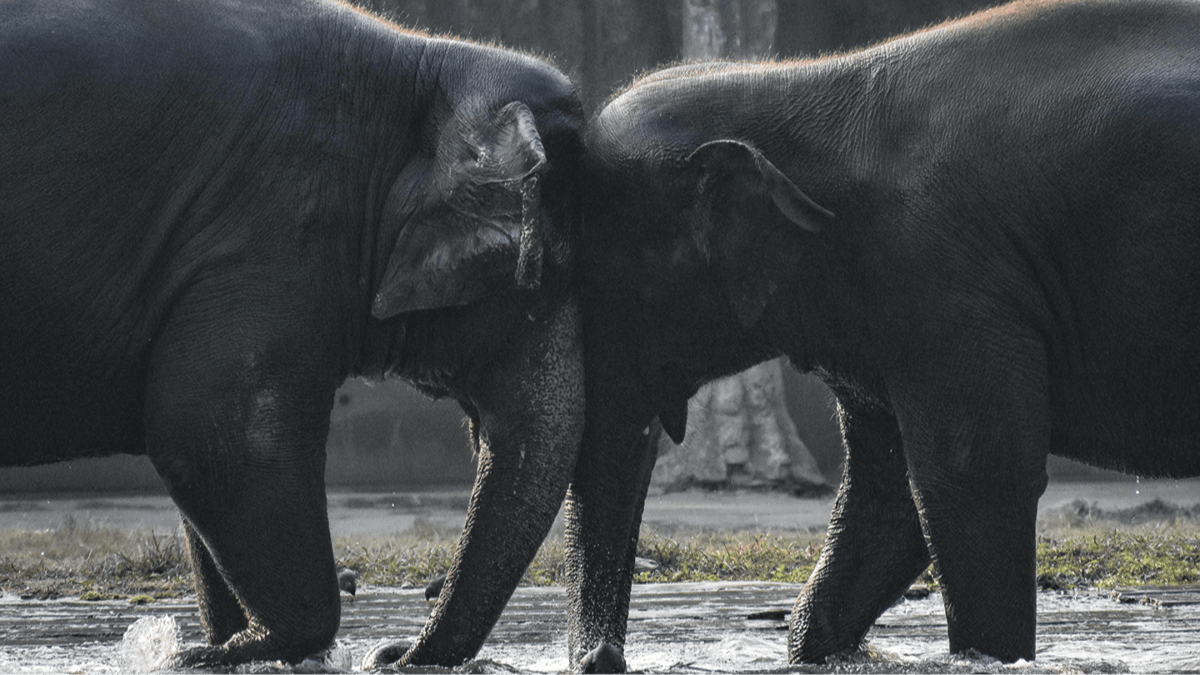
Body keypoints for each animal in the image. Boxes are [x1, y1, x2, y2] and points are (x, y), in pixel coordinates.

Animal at [0, 0, 584, 667]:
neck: (423, 60)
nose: (393, 654)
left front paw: (220, 645)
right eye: (538, 277)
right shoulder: (276, 227)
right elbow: (213, 433)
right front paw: (218, 652)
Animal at [568, 0, 1200, 668]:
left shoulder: (950, 283)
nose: (603, 658)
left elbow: (974, 481)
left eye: (605, 290)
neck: (792, 86)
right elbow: (884, 504)